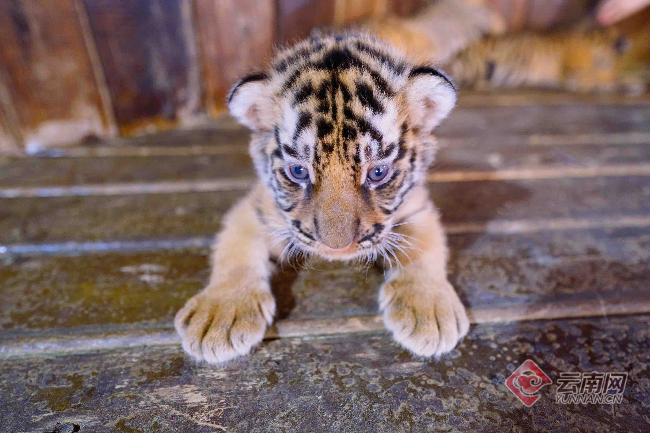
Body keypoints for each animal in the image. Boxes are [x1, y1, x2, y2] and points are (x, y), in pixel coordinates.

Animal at [174, 34, 469, 364]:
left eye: (378, 172)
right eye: (299, 171)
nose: (337, 248)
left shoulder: (419, 207)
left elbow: (422, 249)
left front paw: (429, 311)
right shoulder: (255, 208)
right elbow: (235, 253)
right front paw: (220, 315)